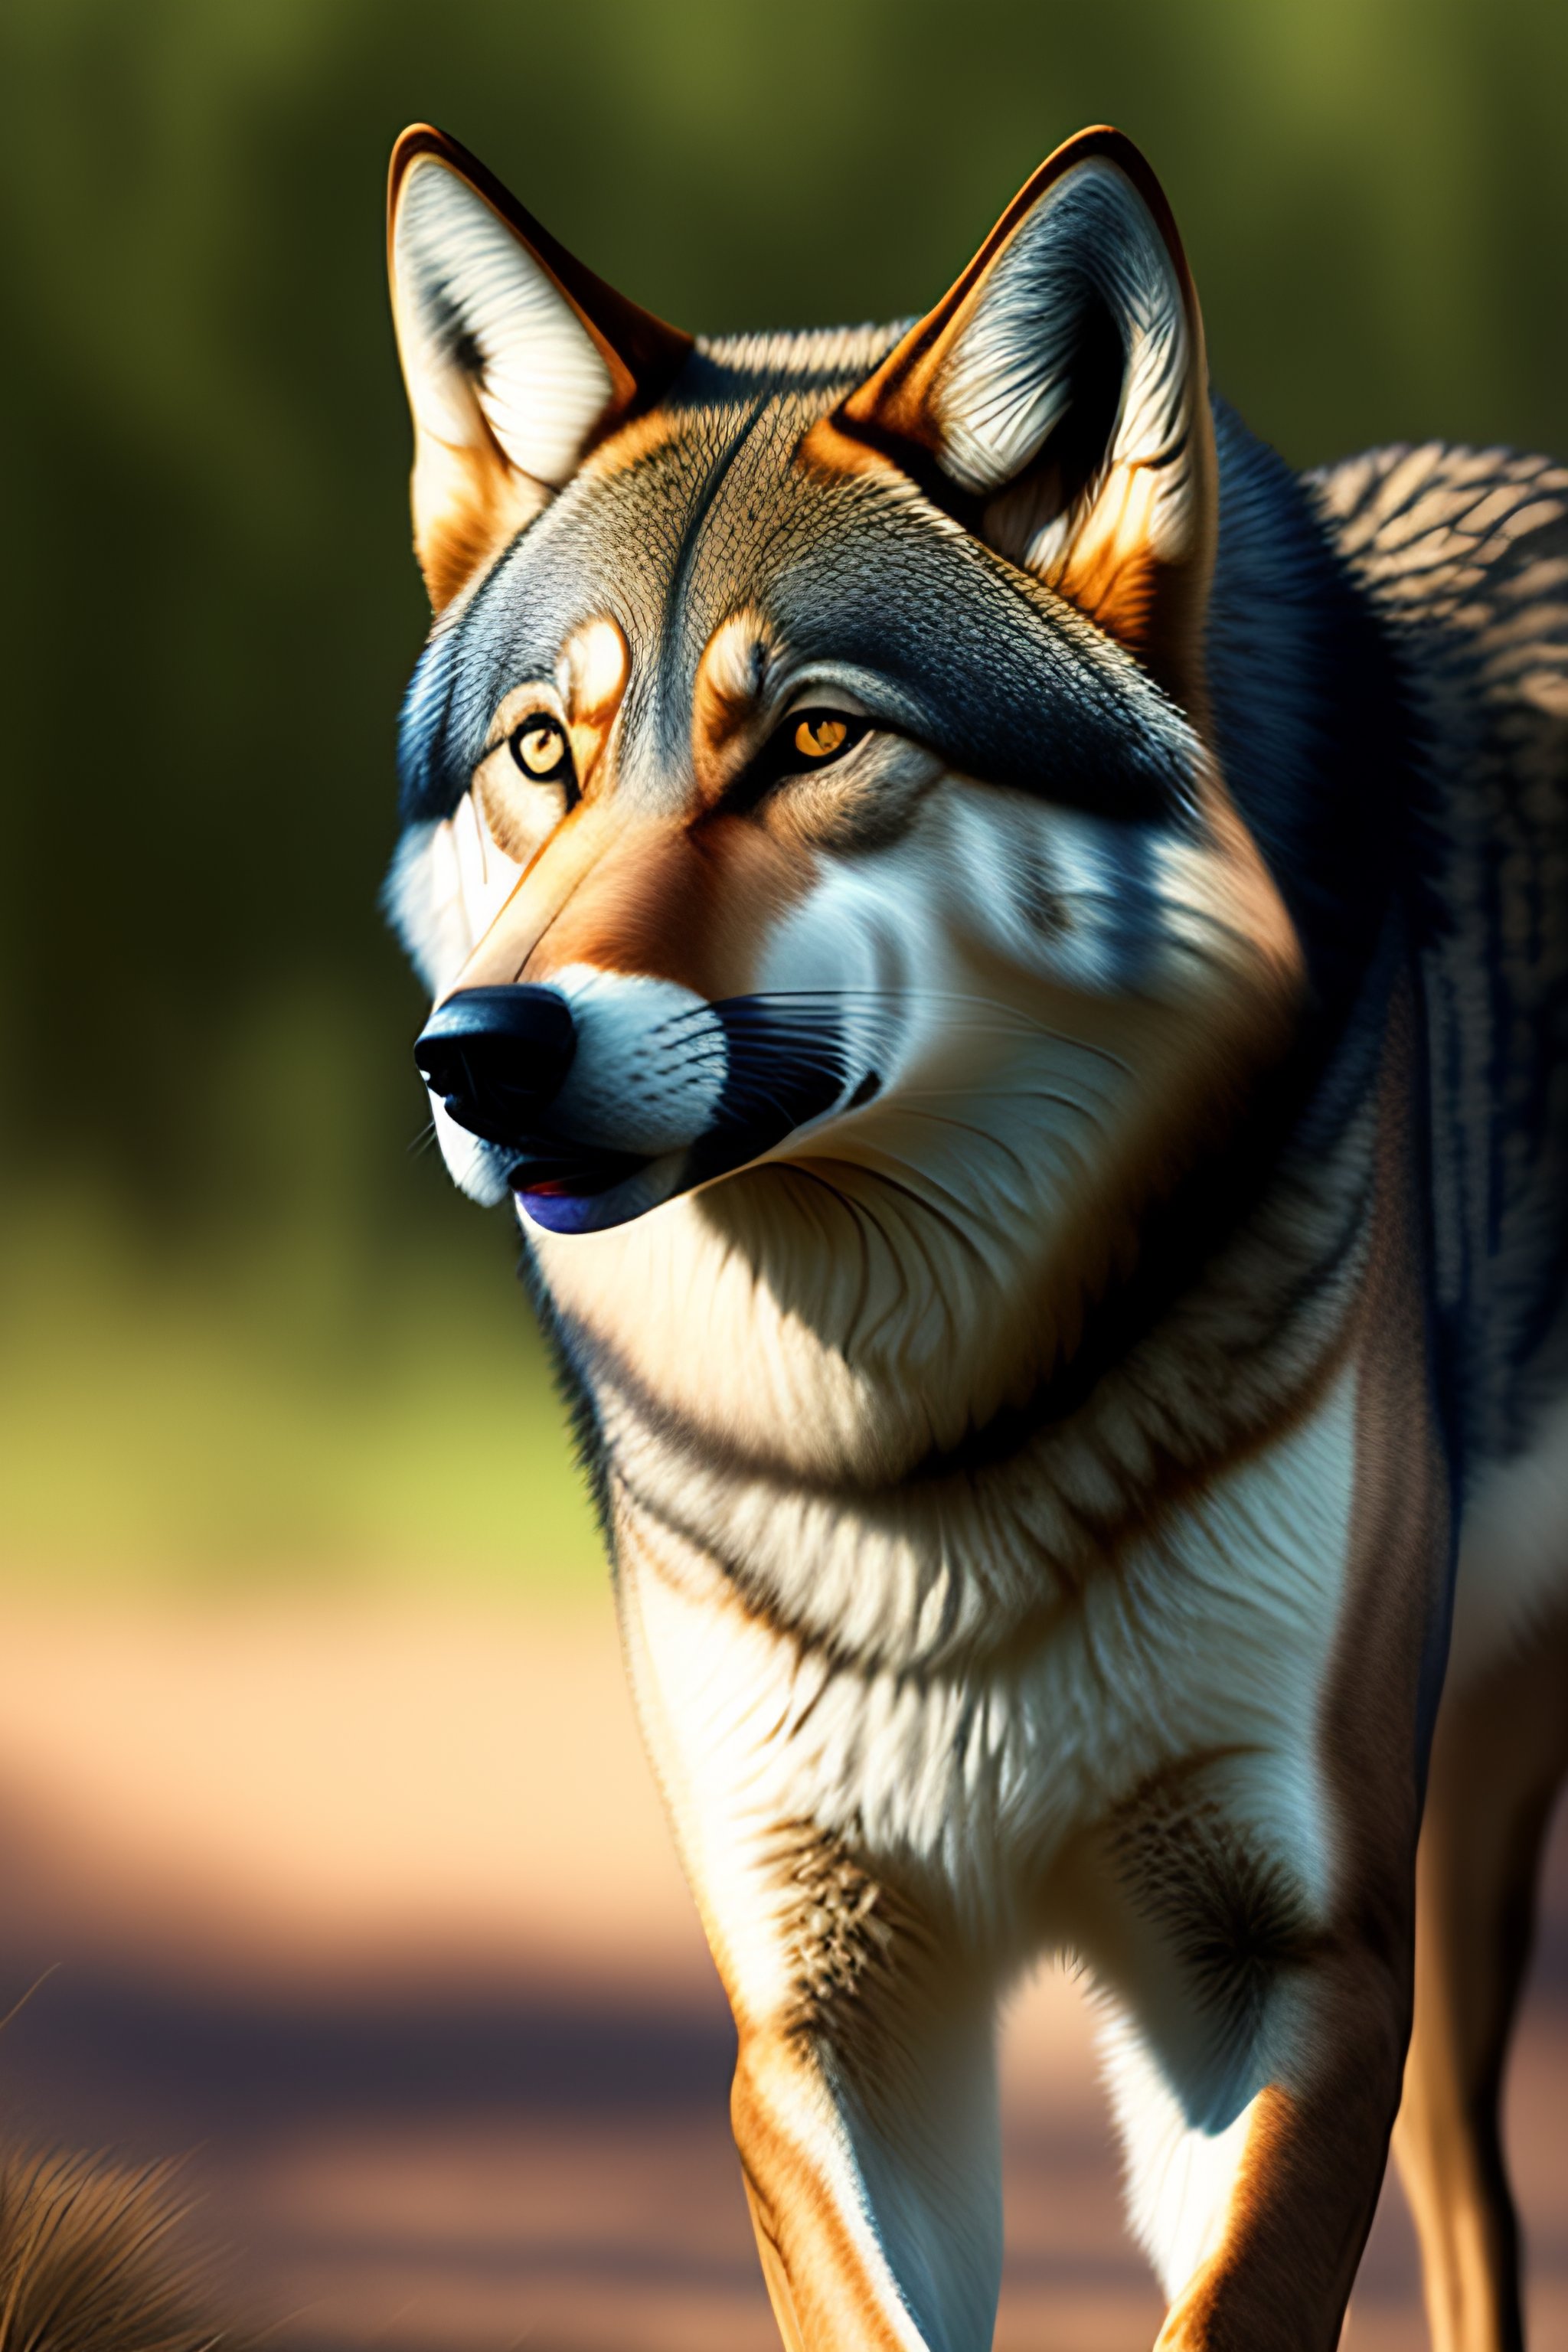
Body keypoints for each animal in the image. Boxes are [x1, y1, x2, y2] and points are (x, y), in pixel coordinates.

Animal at [383, 119, 1568, 2352]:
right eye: (541, 752)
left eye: (818, 736)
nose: (479, 1054)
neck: (918, 1453)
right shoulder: (823, 2001)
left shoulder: (1286, 1957)